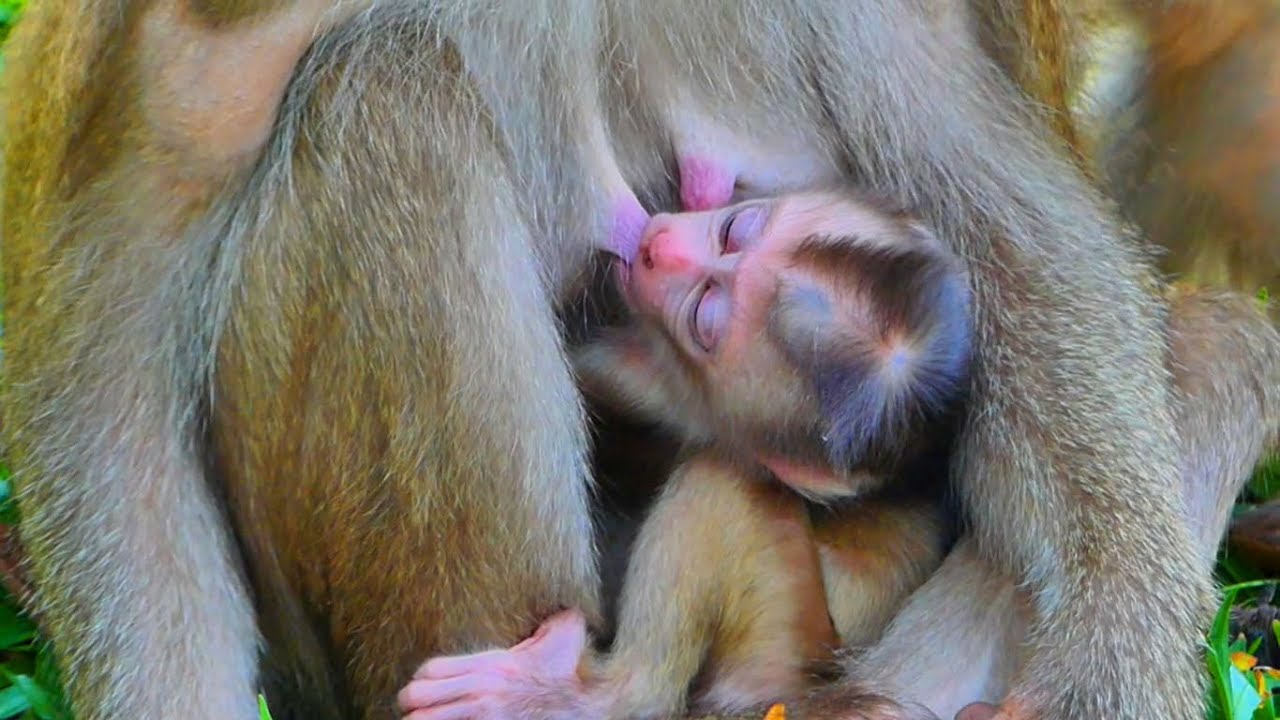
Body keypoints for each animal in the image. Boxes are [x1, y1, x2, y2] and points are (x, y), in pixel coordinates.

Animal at [397, 189, 969, 719]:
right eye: (736, 231)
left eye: (702, 318)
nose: (658, 248)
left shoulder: (675, 393)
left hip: (768, 648)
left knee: (721, 480)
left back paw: (587, 695)